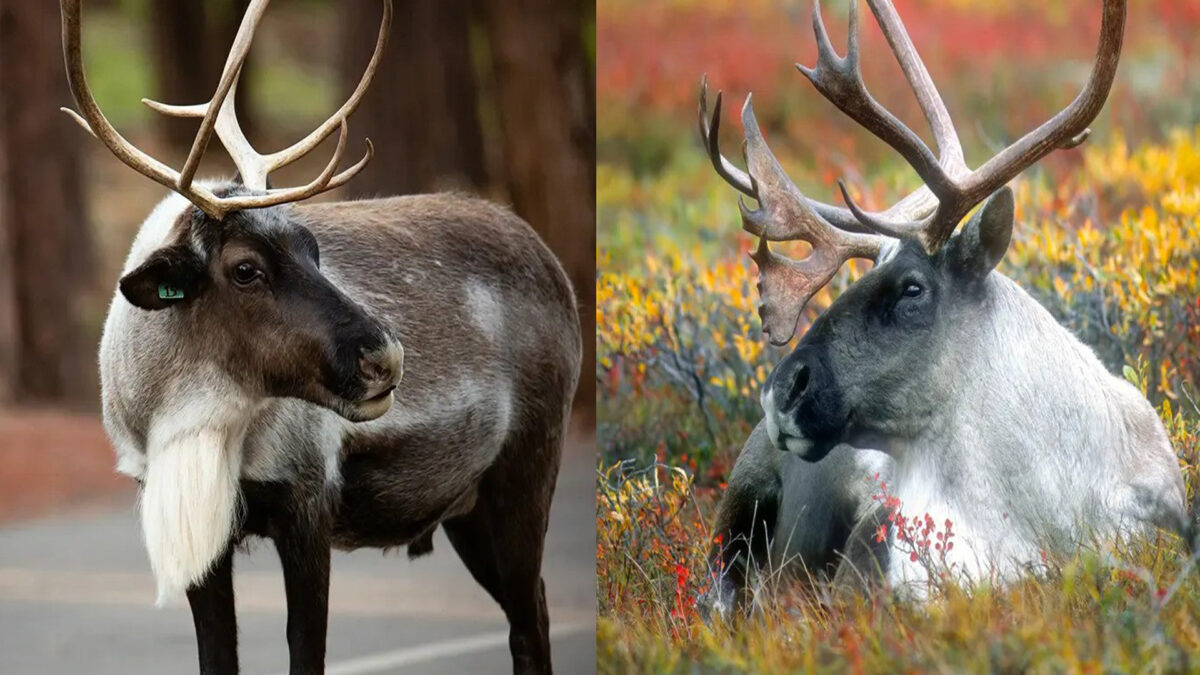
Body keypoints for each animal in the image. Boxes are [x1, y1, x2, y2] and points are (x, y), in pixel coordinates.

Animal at [62, 1, 580, 673]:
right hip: (466, 510)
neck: (181, 420)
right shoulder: (197, 529)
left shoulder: (307, 504)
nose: (386, 356)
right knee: (530, 611)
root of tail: (551, 261)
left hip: (525, 472)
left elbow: (306, 652)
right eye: (245, 268)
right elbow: (218, 655)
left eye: (313, 246)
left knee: (531, 620)